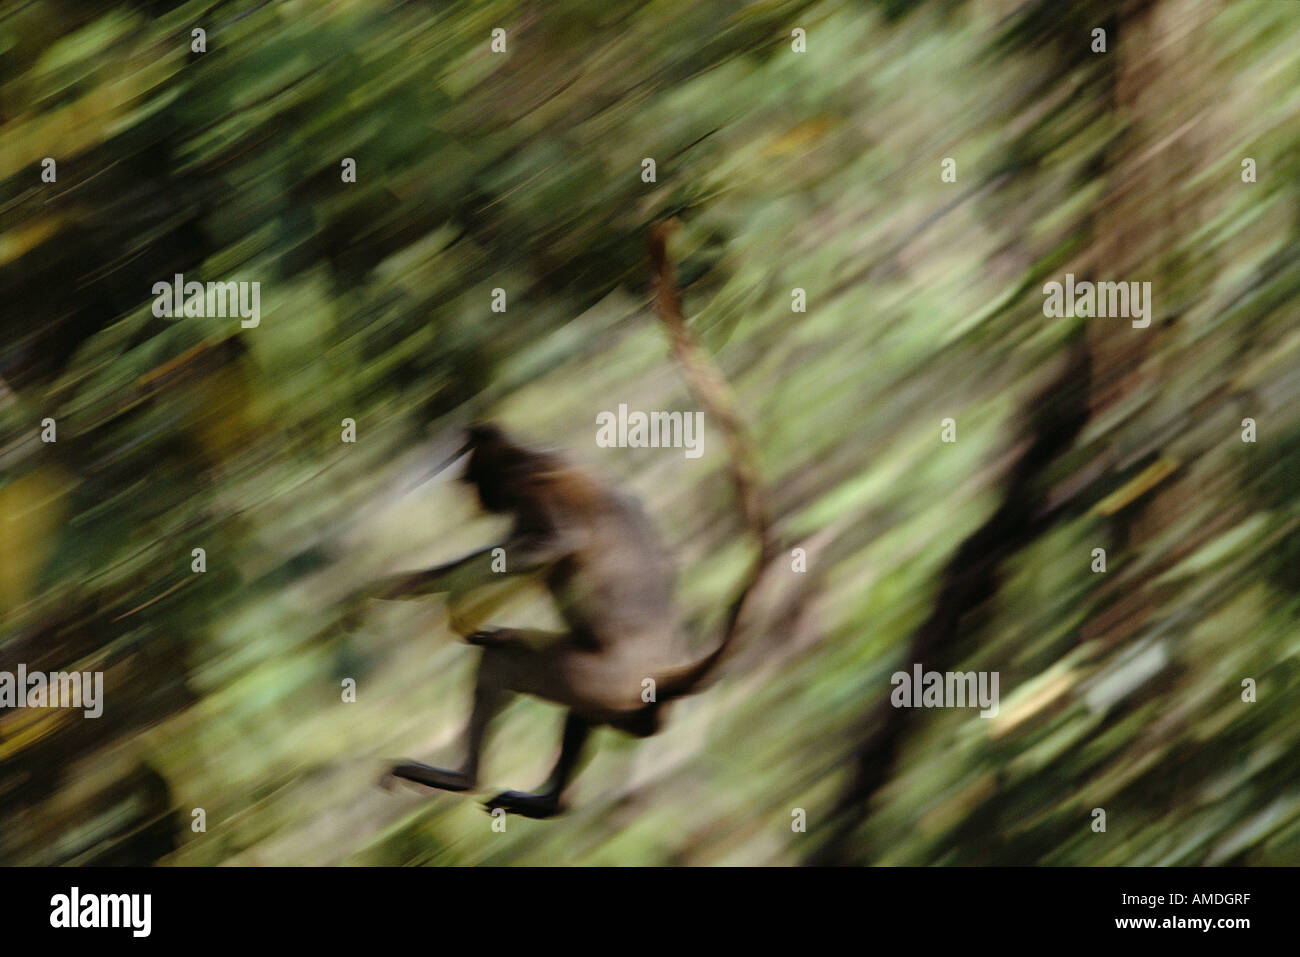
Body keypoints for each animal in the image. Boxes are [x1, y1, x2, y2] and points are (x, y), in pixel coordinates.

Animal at [355, 222, 778, 818]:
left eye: (473, 481)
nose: (471, 496)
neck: (541, 460)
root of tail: (660, 673)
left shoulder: (534, 492)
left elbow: (551, 546)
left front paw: (456, 607)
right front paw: (382, 592)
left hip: (597, 680)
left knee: (507, 653)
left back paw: (464, 778)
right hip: (613, 701)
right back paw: (549, 802)